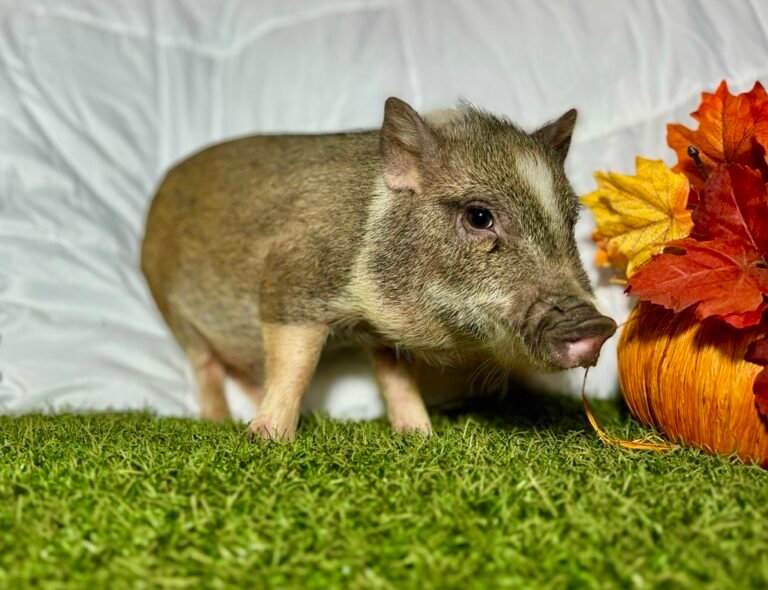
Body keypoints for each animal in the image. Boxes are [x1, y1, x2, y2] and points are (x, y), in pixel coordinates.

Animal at [140, 97, 617, 439]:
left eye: (570, 220)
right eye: (479, 216)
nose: (597, 324)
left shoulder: (384, 334)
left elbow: (396, 379)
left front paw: (420, 436)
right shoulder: (293, 282)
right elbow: (296, 364)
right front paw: (266, 438)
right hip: (171, 309)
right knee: (205, 366)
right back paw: (222, 421)